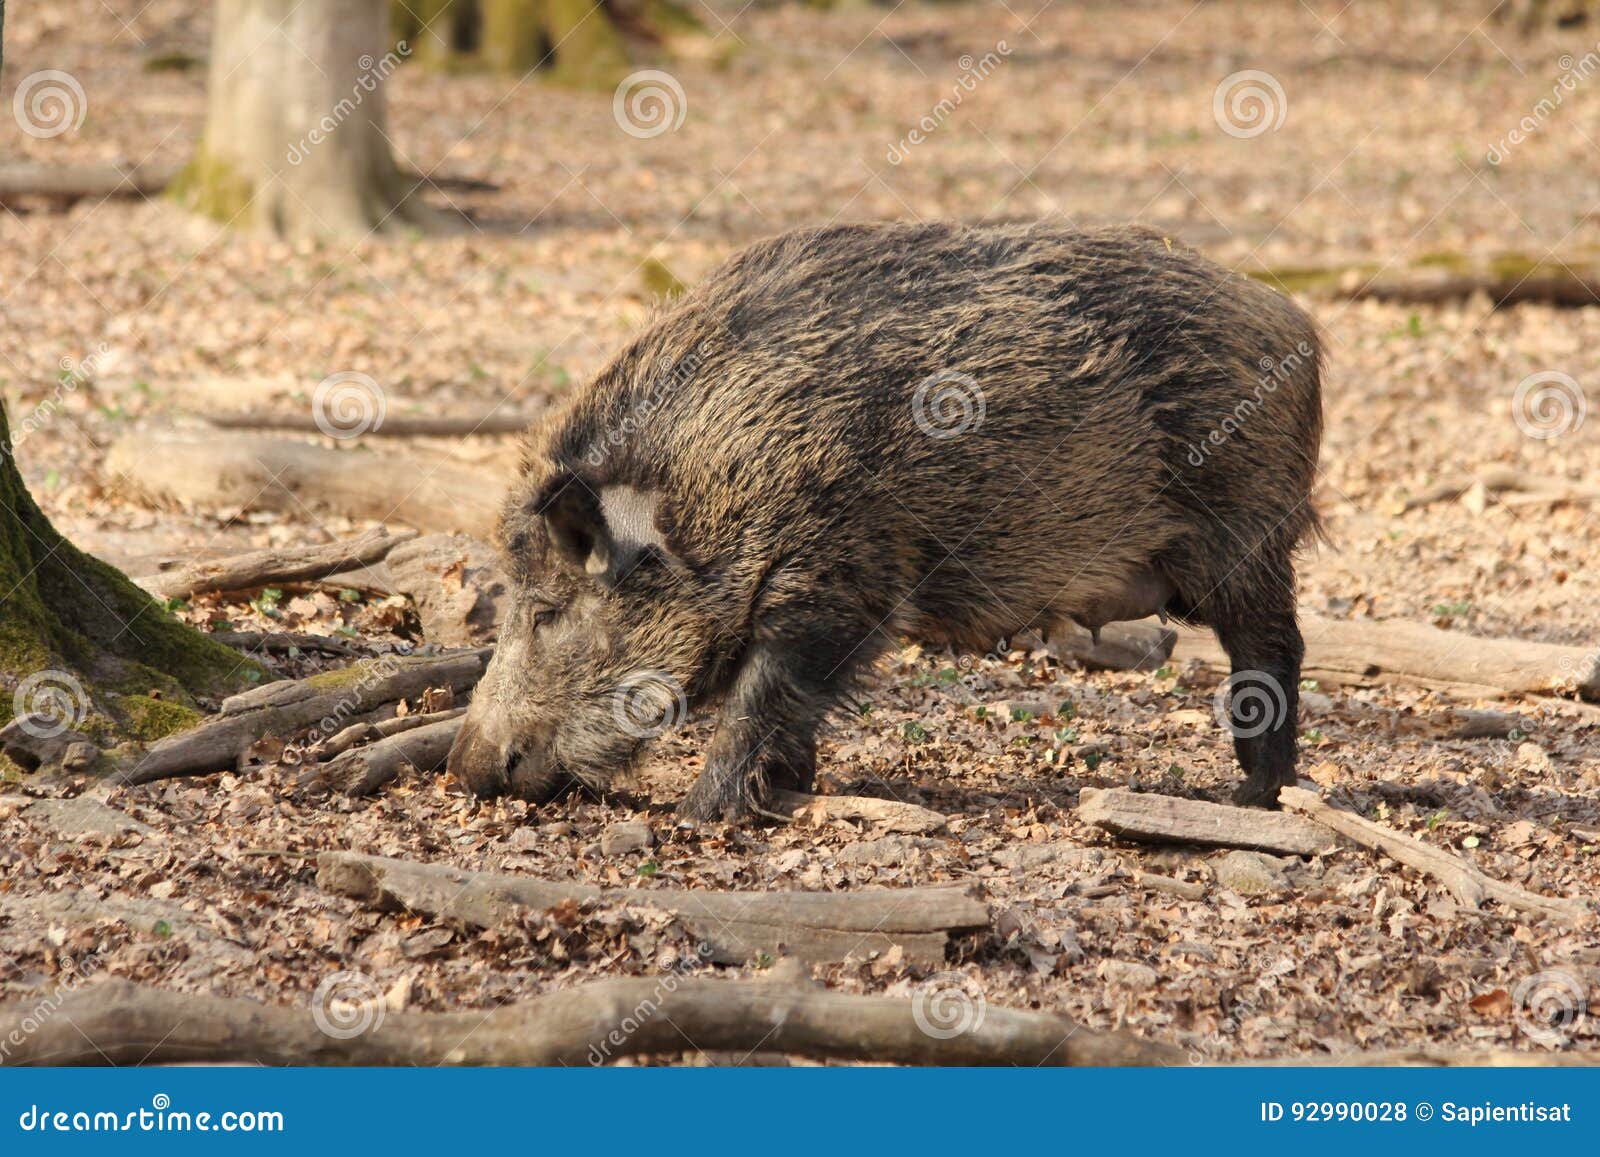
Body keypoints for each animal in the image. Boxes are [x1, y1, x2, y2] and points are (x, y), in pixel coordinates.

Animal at [447, 222, 1324, 821]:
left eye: (548, 611)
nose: (465, 765)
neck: (709, 487)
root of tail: (1295, 324)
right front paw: (794, 788)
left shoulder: (838, 576)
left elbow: (764, 694)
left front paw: (705, 813)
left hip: (1243, 532)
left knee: (1276, 647)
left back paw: (1255, 795)